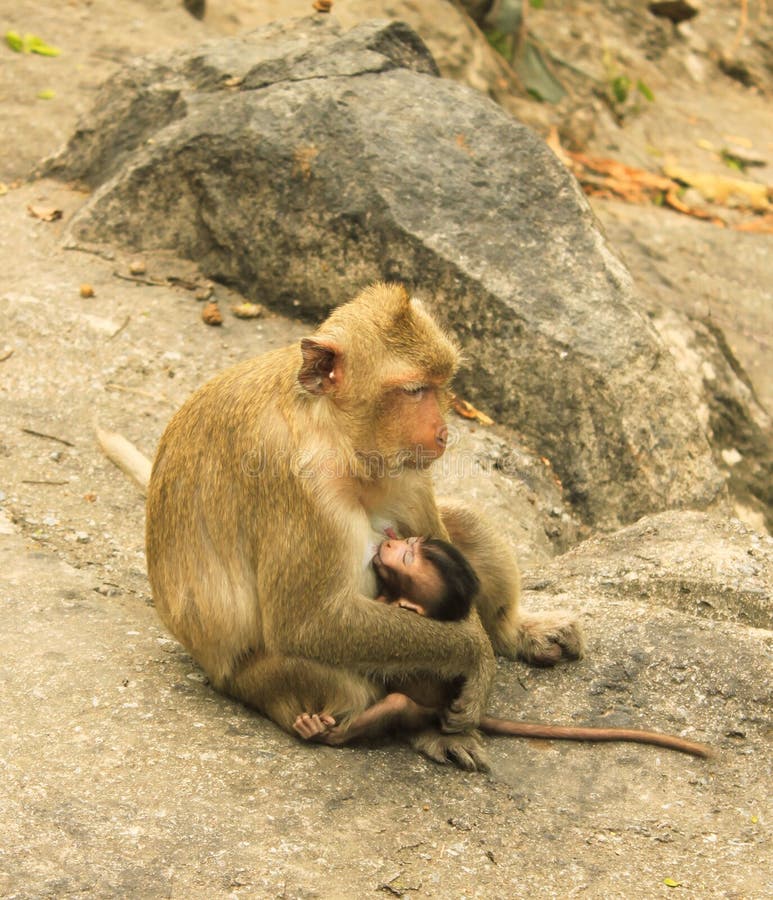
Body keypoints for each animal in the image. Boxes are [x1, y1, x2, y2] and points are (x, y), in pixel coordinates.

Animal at [106, 283, 585, 771]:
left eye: (440, 385)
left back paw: (512, 635)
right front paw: (473, 655)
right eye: (414, 390)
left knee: (464, 524)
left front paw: (484, 655)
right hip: (259, 679)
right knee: (335, 675)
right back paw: (407, 722)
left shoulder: (403, 465)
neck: (332, 431)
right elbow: (309, 624)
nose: (442, 433)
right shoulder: (295, 479)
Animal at [294, 533, 711, 758]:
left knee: (396, 704)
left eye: (408, 556)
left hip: (415, 707)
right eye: (408, 543)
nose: (390, 542)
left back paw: (326, 731)